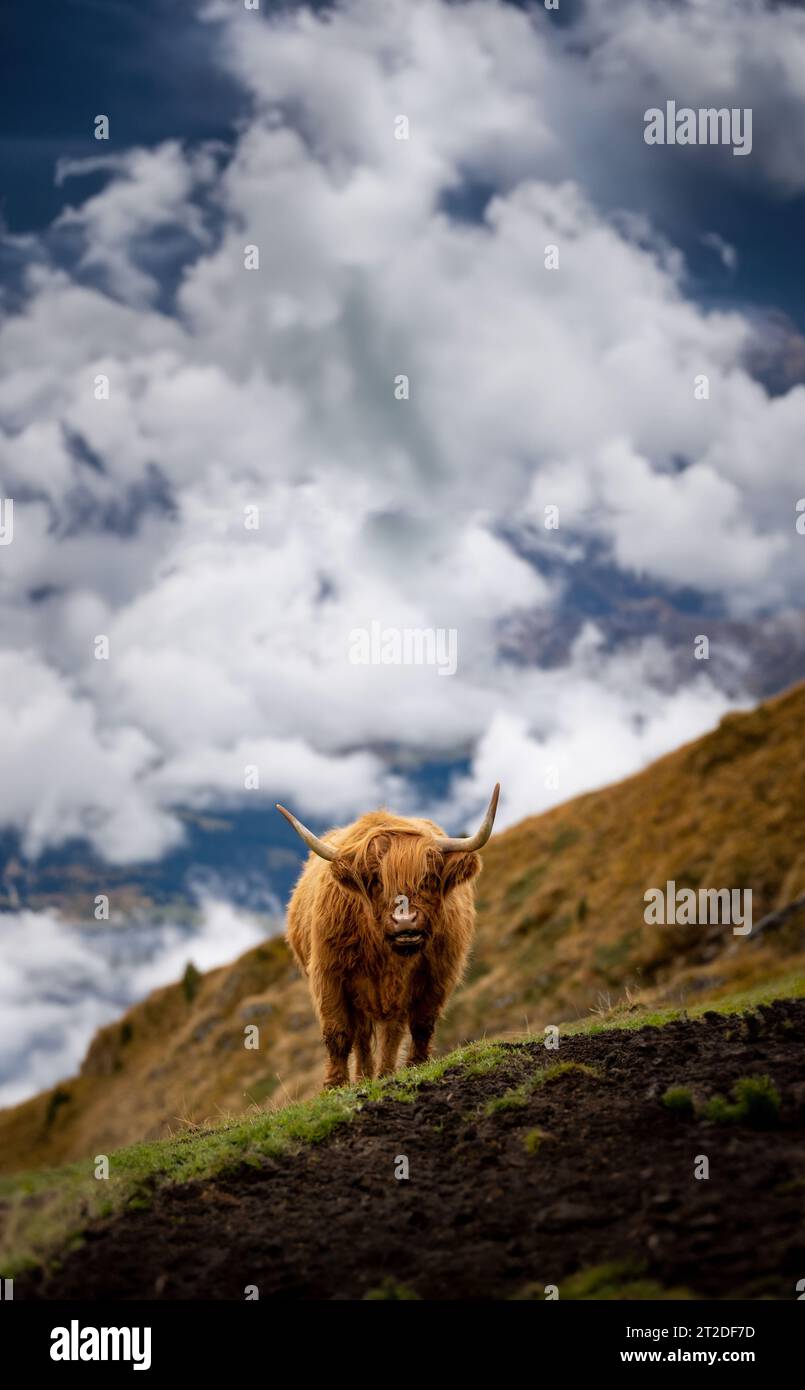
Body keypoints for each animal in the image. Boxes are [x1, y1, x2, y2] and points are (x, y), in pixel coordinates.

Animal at [276, 785, 500, 1088]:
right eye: (376, 881)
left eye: (428, 878)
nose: (404, 921)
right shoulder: (329, 974)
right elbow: (338, 1033)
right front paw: (335, 1085)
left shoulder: (438, 974)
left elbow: (418, 1025)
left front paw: (415, 1066)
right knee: (360, 1034)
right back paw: (364, 1077)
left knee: (391, 1030)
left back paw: (382, 1073)